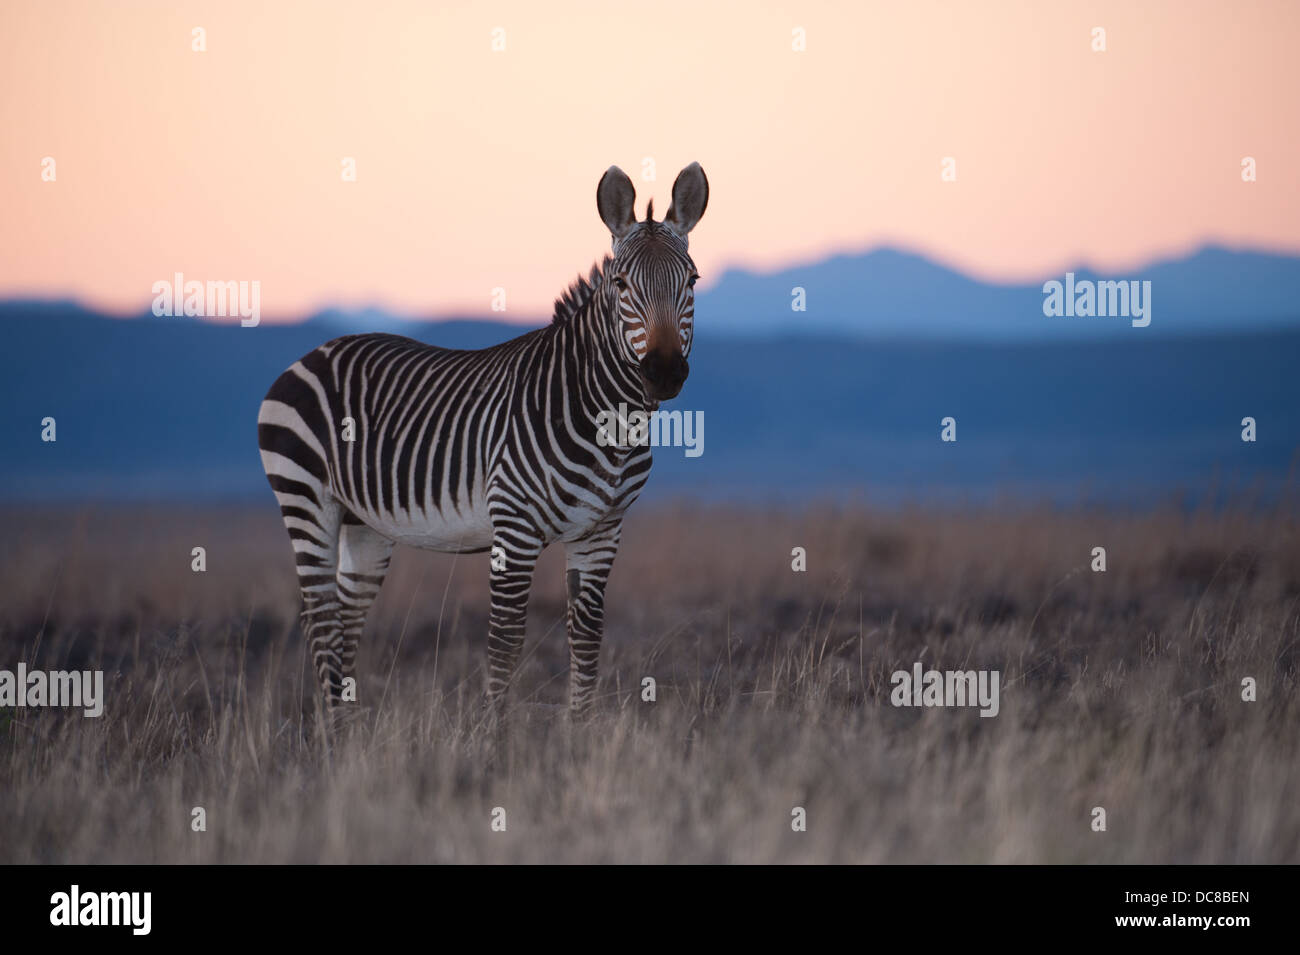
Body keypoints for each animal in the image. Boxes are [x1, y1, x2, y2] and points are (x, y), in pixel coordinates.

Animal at [257, 162, 709, 724]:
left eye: (691, 281)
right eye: (621, 284)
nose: (664, 372)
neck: (609, 423)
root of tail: (316, 352)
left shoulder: (602, 530)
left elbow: (587, 639)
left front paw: (580, 732)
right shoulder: (514, 527)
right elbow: (505, 644)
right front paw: (497, 739)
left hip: (363, 524)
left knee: (343, 619)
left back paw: (348, 732)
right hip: (306, 499)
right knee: (320, 618)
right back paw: (337, 735)